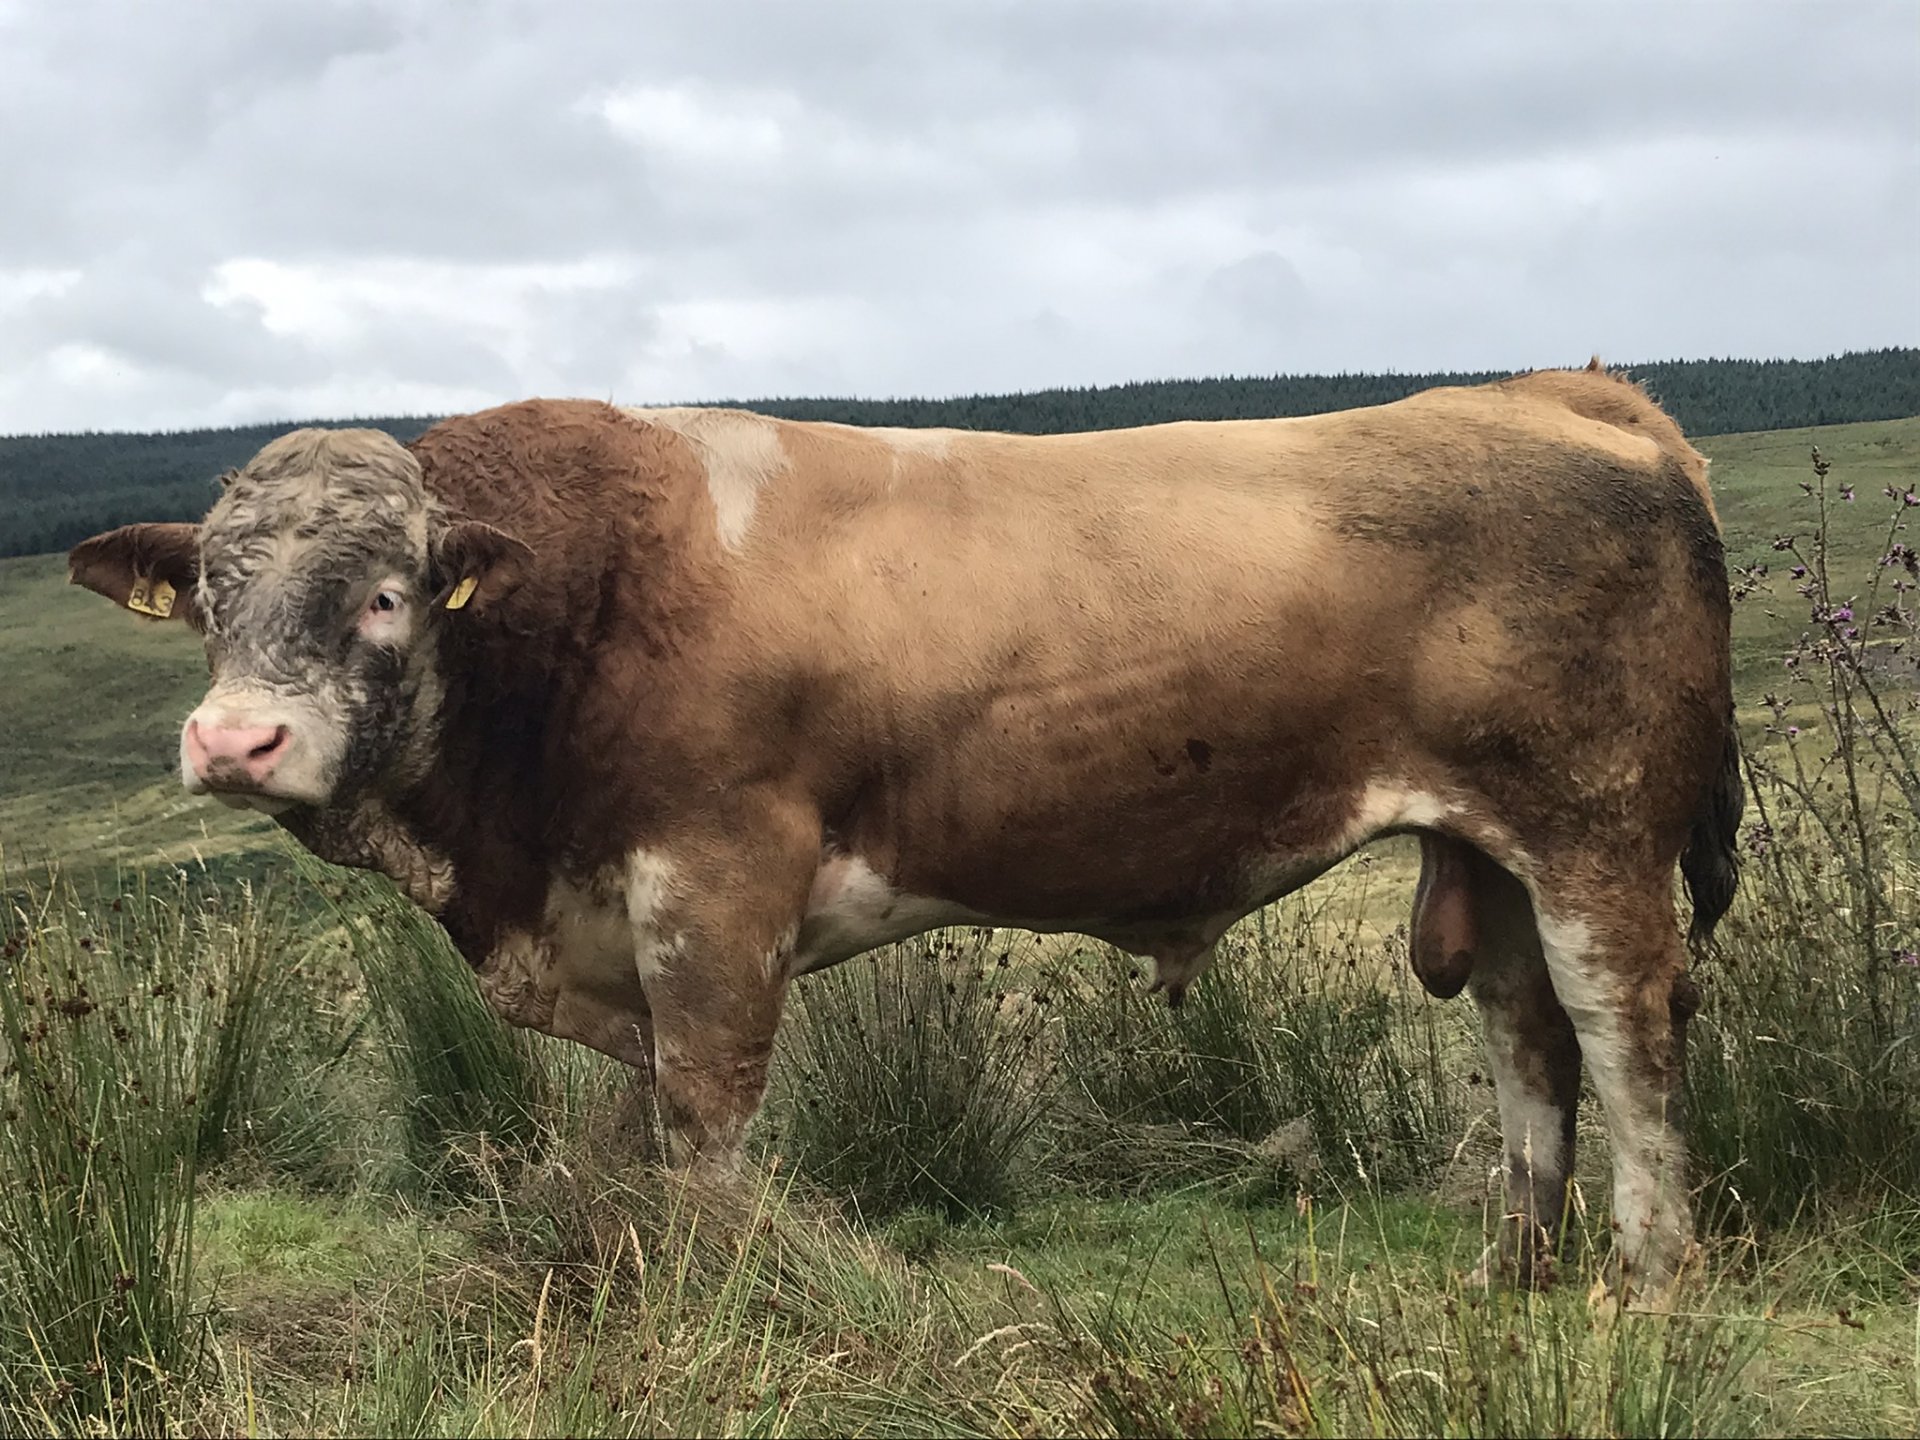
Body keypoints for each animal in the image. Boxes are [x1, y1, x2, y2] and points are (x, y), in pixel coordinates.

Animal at [67, 362, 1740, 1298]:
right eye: (209, 592)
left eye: (384, 594)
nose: (233, 743)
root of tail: (1551, 391)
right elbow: (629, 1142)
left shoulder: (717, 890)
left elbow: (704, 1130)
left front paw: (714, 1303)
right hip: (1495, 847)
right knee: (1529, 1037)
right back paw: (1514, 1275)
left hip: (1594, 829)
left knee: (1626, 1021)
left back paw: (1653, 1275)